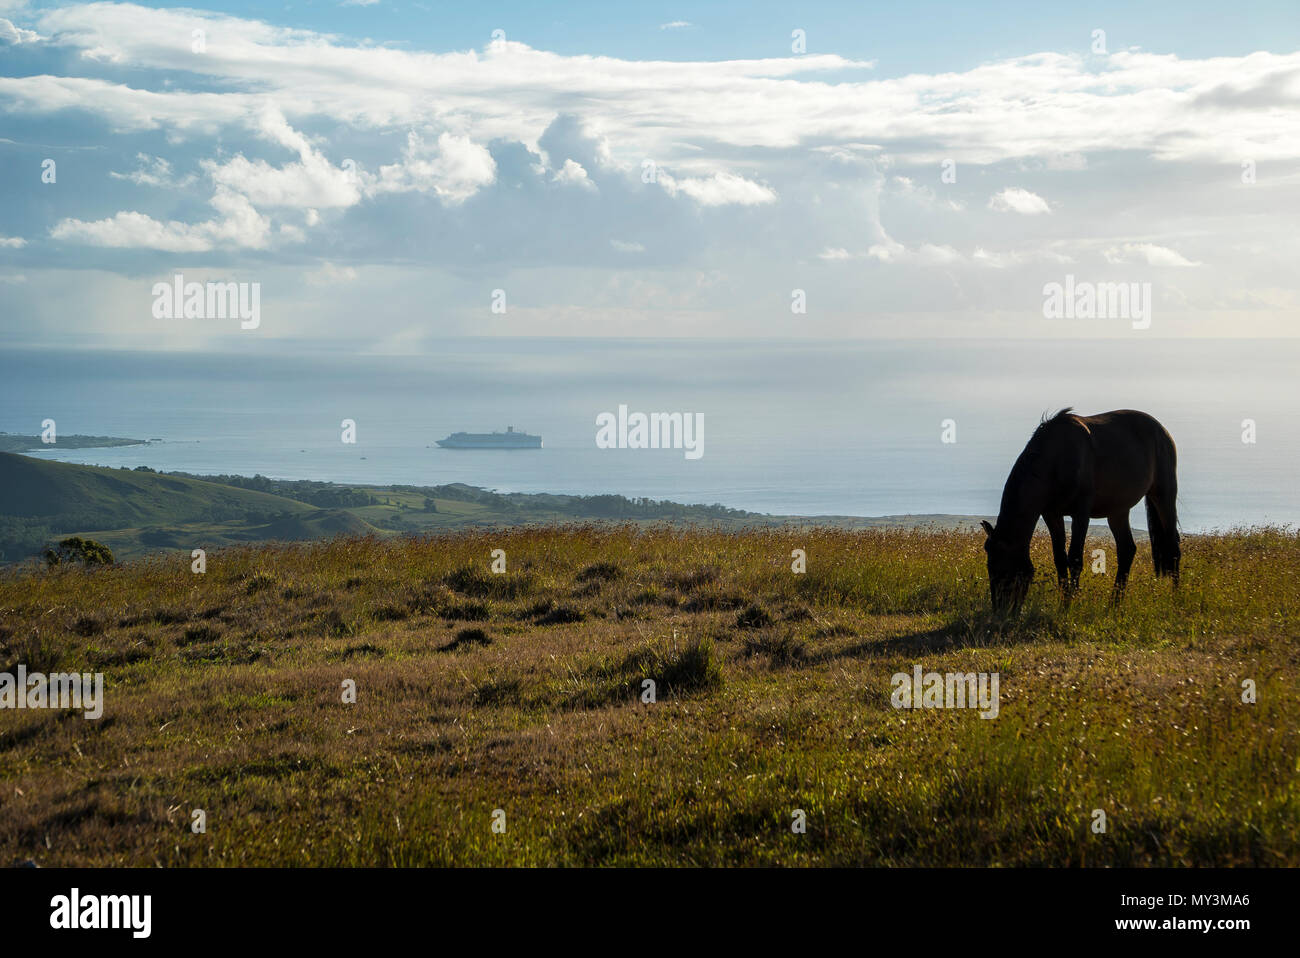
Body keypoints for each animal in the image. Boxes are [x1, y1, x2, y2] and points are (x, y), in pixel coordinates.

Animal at [981, 409, 1180, 613]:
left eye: (1004, 569)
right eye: (989, 568)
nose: (1000, 610)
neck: (1056, 460)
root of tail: (1162, 430)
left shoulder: (1081, 514)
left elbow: (1075, 559)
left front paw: (1071, 605)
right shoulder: (1052, 514)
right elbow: (1060, 559)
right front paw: (1063, 602)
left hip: (1163, 495)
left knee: (1173, 545)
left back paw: (1175, 600)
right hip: (1118, 510)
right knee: (1127, 549)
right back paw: (1115, 603)